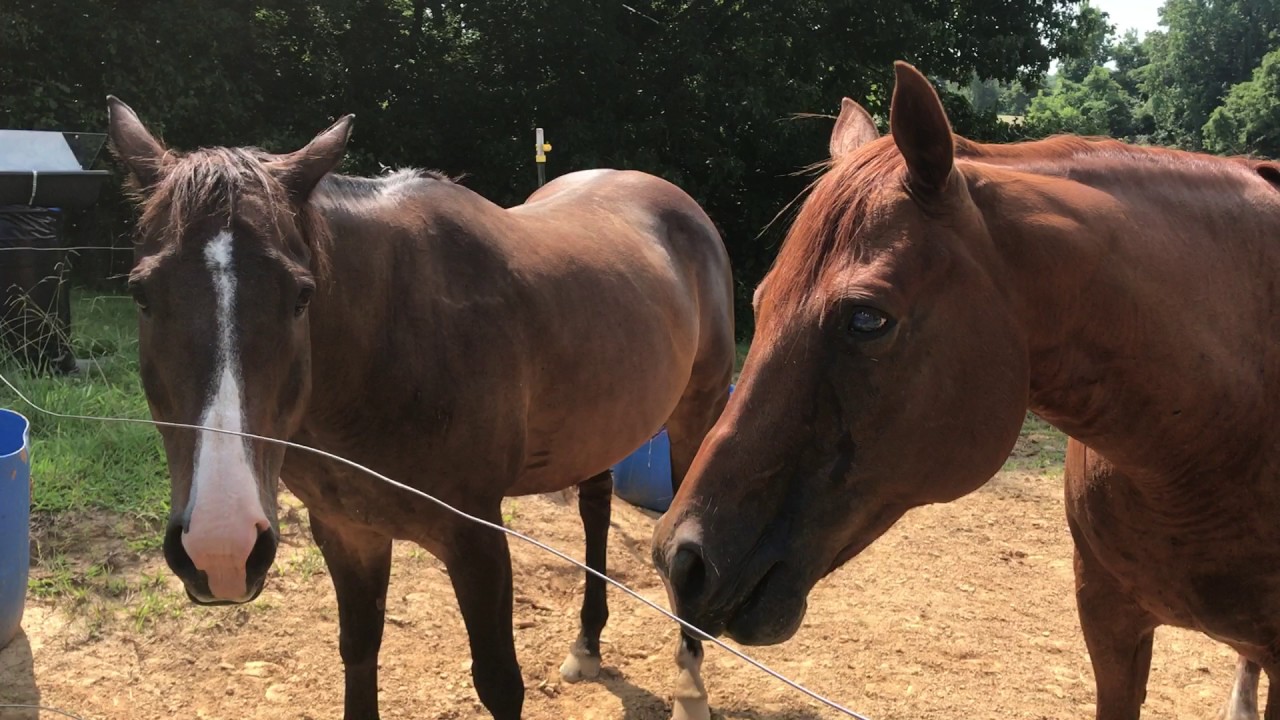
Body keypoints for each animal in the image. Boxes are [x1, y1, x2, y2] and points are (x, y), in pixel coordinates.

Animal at [105, 97, 734, 720]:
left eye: (301, 296)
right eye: (141, 294)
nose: (222, 548)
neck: (390, 343)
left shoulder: (476, 538)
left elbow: (499, 683)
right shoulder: (346, 531)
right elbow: (359, 649)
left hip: (694, 419)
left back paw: (690, 686)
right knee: (596, 507)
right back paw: (586, 644)